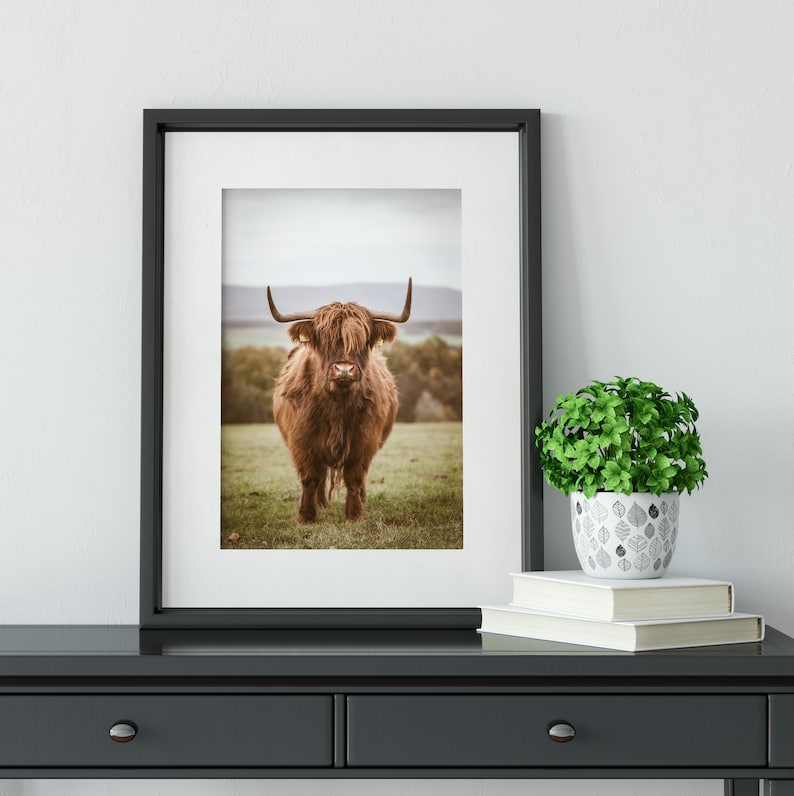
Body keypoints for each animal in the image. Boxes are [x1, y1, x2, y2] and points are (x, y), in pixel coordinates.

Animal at [267, 279, 412, 523]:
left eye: (362, 341)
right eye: (323, 339)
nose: (344, 369)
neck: (336, 404)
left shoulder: (364, 440)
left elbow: (354, 478)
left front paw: (354, 515)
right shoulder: (302, 440)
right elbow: (310, 478)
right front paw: (306, 516)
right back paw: (321, 503)